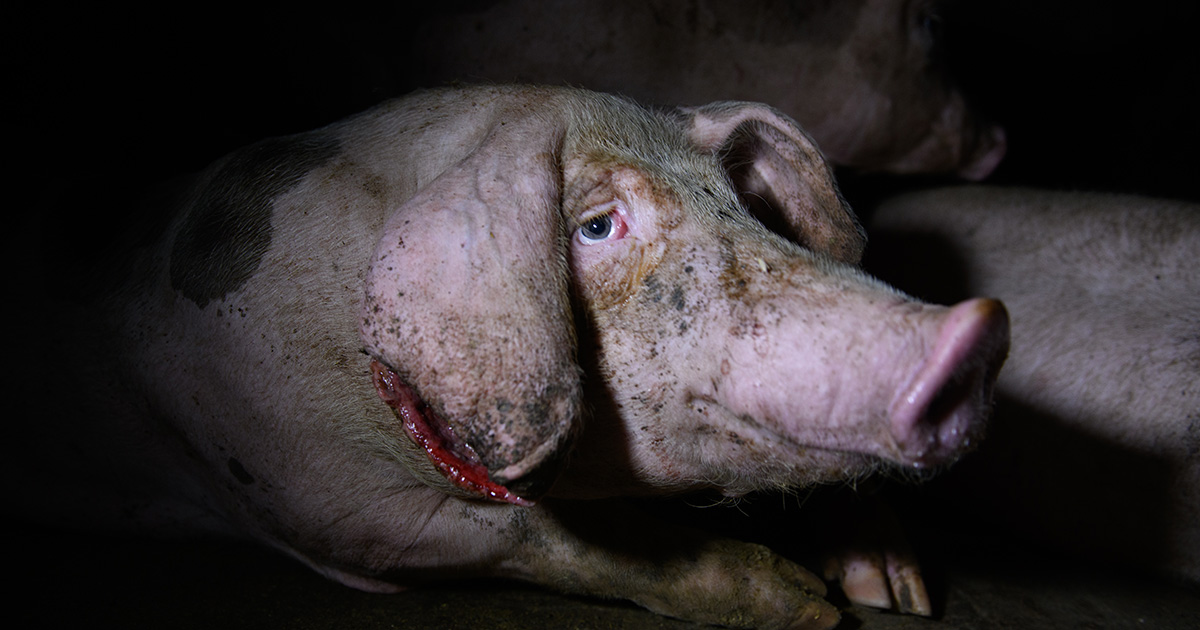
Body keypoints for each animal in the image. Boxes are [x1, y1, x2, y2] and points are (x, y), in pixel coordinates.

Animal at [4, 85, 1009, 630]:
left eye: (743, 207)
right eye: (596, 226)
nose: (978, 329)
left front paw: (900, 594)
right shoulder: (319, 504)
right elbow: (557, 542)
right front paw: (808, 604)